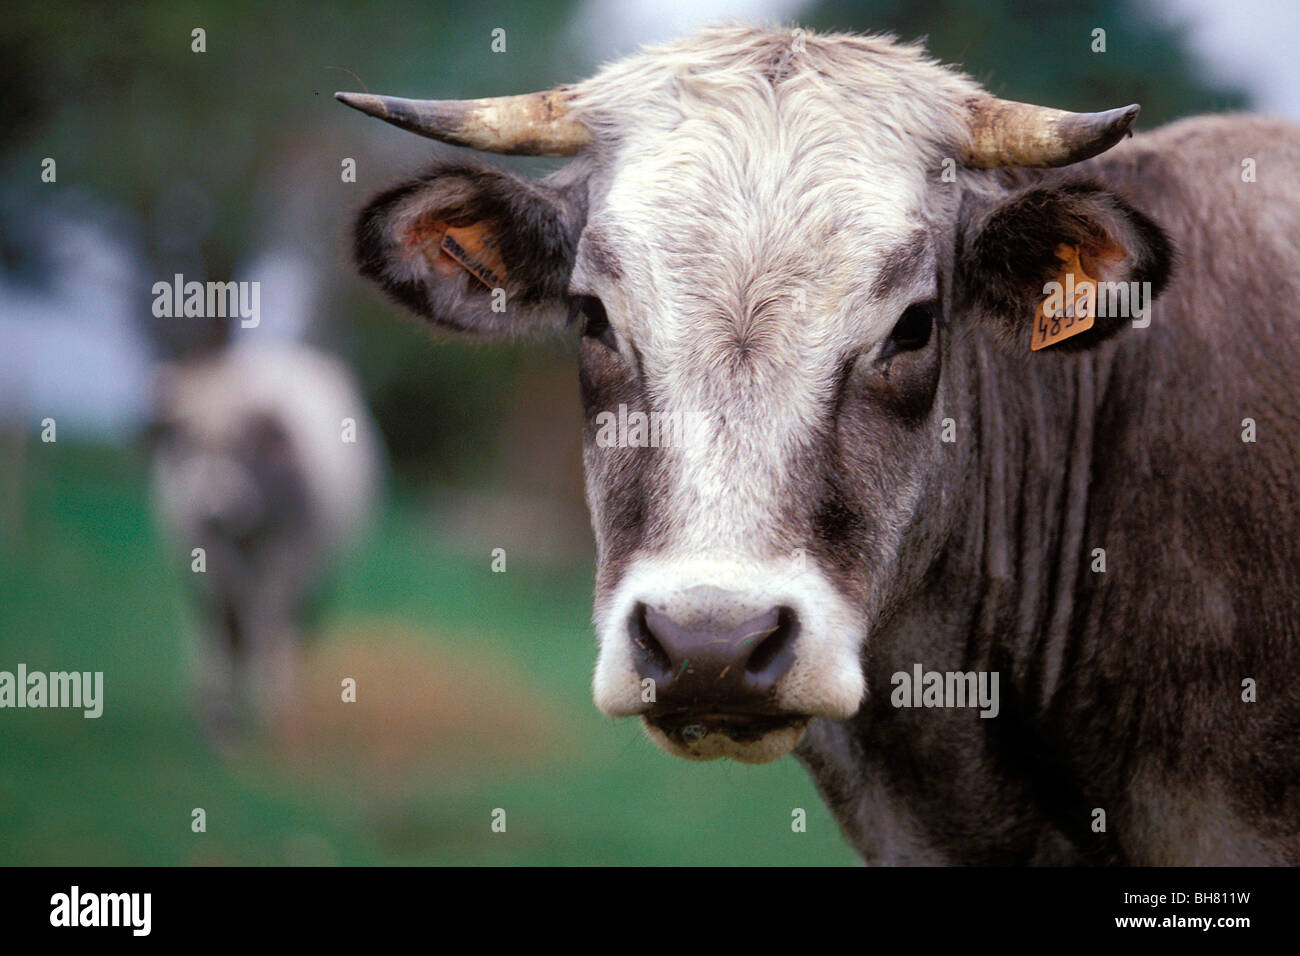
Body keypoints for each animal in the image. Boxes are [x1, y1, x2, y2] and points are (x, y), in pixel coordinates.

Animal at [150, 342, 381, 739]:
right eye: (187, 444)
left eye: (247, 447)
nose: (212, 510)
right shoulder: (205, 564)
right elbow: (221, 626)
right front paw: (219, 715)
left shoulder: (288, 560)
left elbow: (271, 626)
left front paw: (276, 706)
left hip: (316, 571)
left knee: (292, 621)